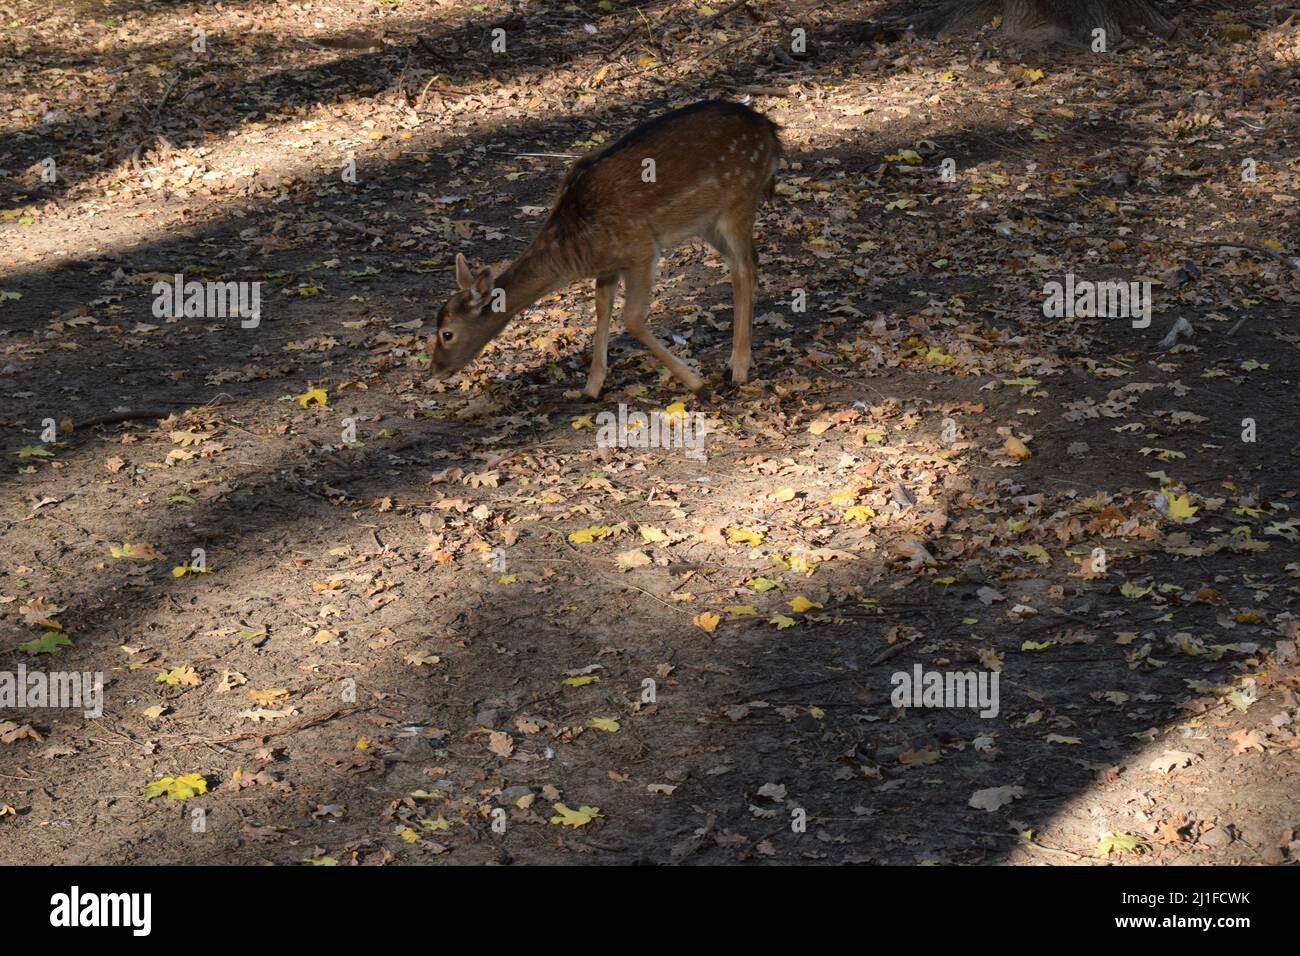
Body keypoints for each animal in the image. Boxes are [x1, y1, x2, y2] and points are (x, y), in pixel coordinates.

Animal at [428, 100, 781, 400]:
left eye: (447, 334)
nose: (434, 371)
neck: (574, 251)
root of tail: (769, 129)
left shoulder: (641, 249)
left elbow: (632, 318)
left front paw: (698, 384)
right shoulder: (609, 265)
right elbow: (602, 308)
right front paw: (592, 387)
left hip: (738, 201)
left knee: (744, 271)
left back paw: (738, 370)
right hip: (708, 223)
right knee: (749, 262)